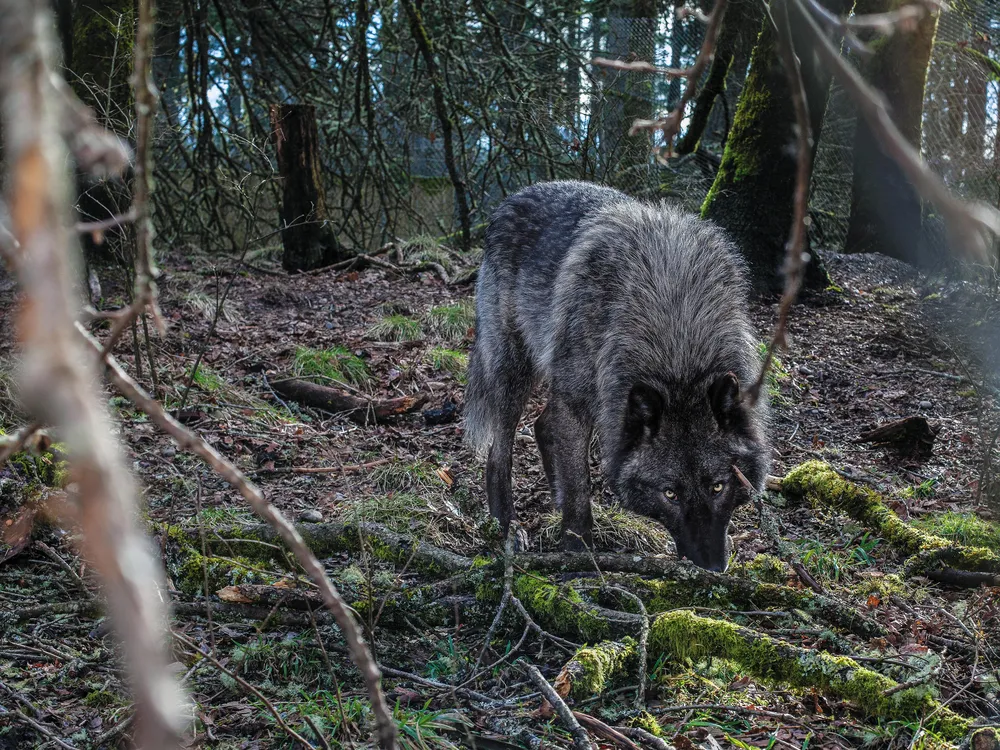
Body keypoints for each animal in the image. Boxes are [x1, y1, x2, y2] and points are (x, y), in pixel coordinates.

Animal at [464, 180, 770, 572]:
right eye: (669, 493)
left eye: (718, 486)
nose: (711, 567)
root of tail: (515, 197)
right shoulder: (575, 404)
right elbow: (579, 489)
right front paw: (577, 554)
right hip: (512, 372)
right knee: (498, 453)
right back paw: (507, 528)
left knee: (542, 426)